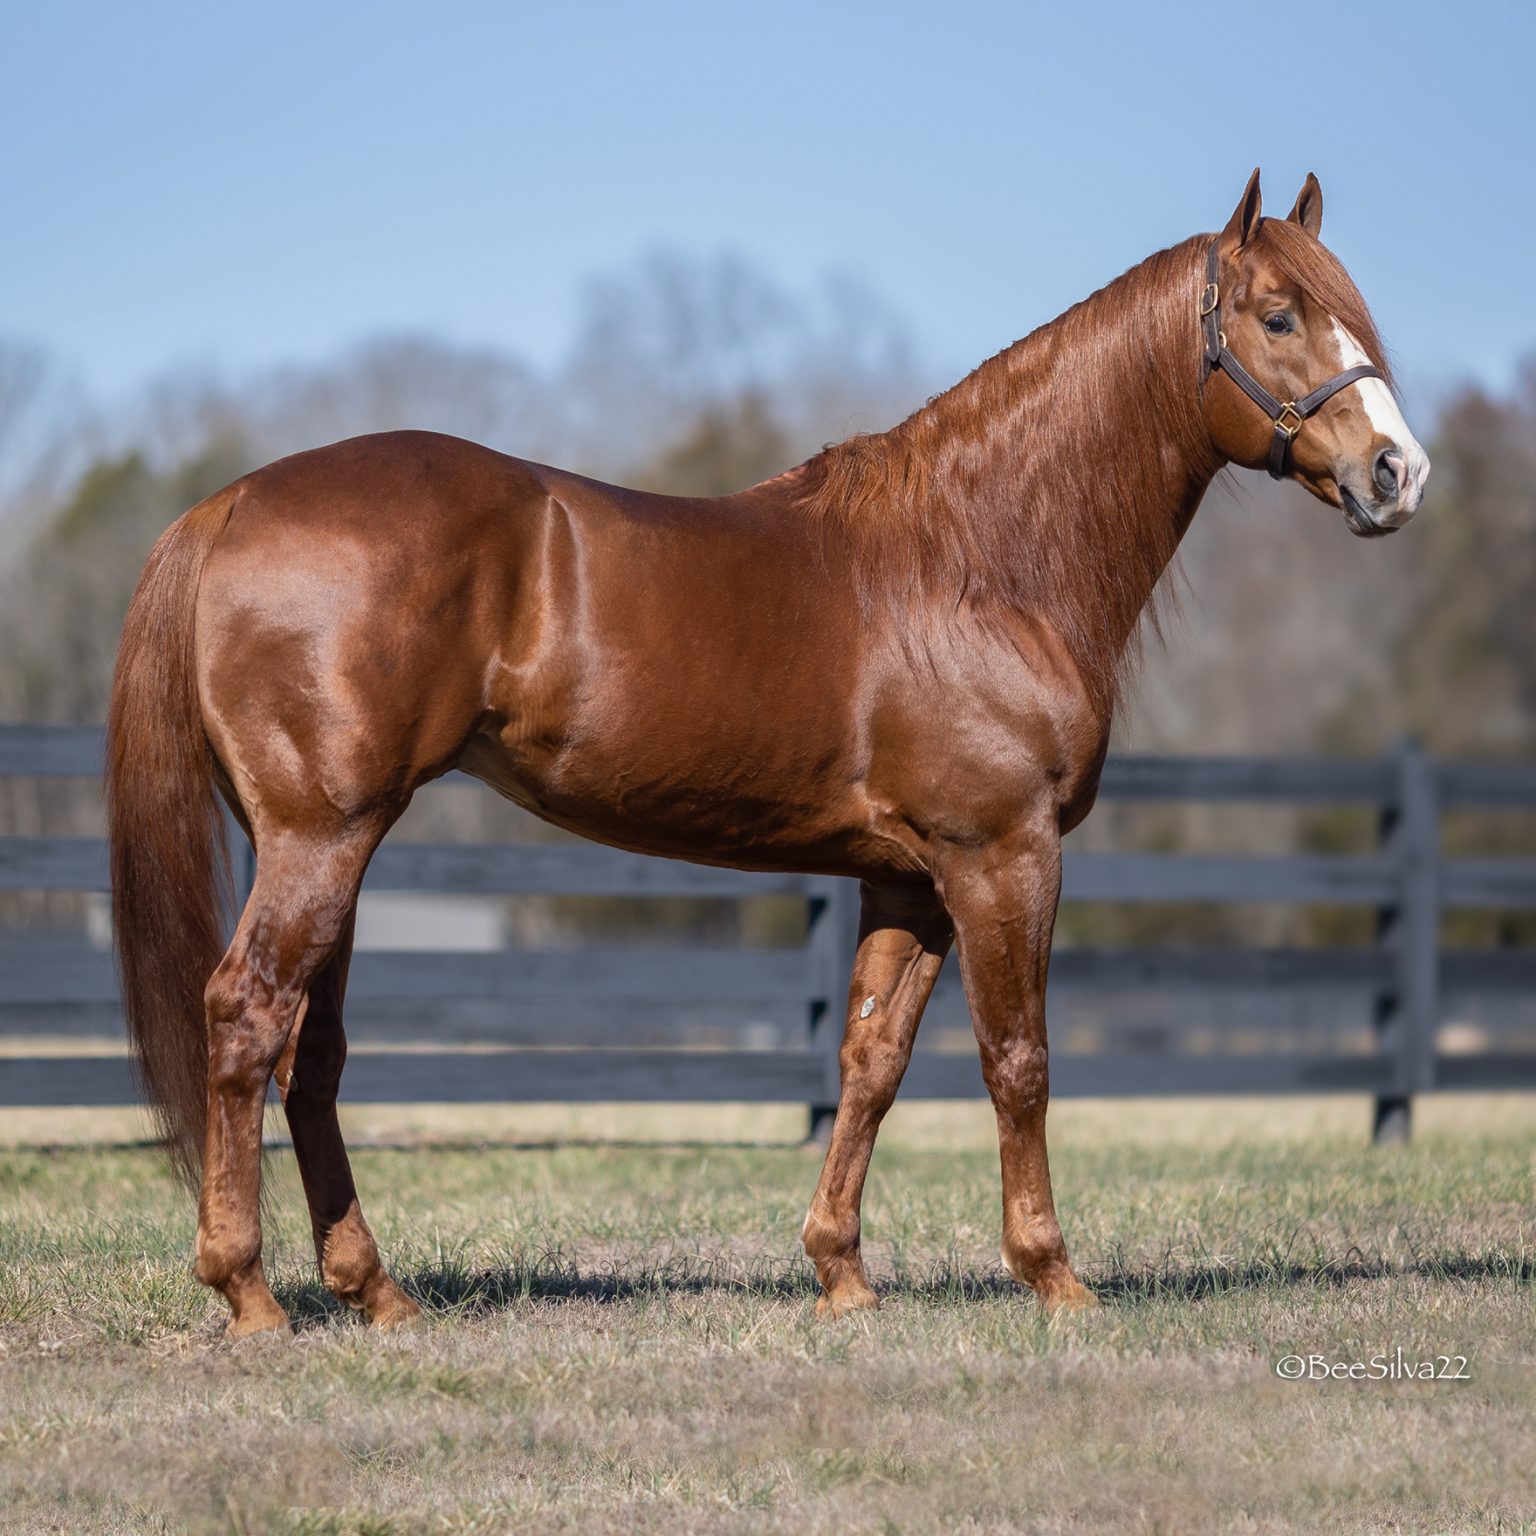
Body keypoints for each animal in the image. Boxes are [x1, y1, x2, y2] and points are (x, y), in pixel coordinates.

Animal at [106, 170, 1429, 1336]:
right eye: (1277, 314)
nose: (1397, 473)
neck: (978, 560)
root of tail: (231, 504)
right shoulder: (1003, 856)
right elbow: (1019, 1061)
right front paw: (1054, 1278)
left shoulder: (910, 877)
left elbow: (873, 1060)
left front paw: (841, 1274)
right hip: (321, 838)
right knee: (246, 1019)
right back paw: (249, 1294)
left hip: (329, 842)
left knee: (312, 1053)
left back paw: (374, 1293)